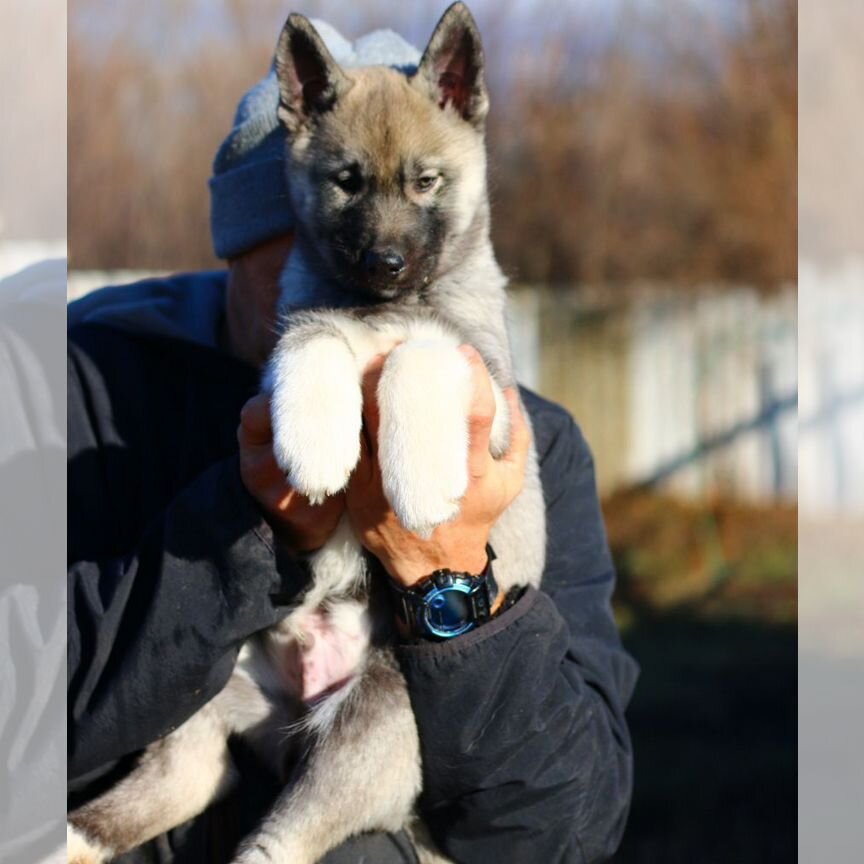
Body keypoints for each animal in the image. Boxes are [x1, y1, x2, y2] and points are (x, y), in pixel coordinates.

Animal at [67, 6, 544, 864]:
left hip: (375, 723)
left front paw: (419, 477)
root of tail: (294, 708)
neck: (378, 309)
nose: (385, 263)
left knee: (276, 838)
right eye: (346, 181)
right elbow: (314, 339)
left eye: (426, 181)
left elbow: (422, 351)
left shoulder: (485, 380)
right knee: (130, 807)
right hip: (196, 712)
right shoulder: (299, 330)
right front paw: (316, 447)